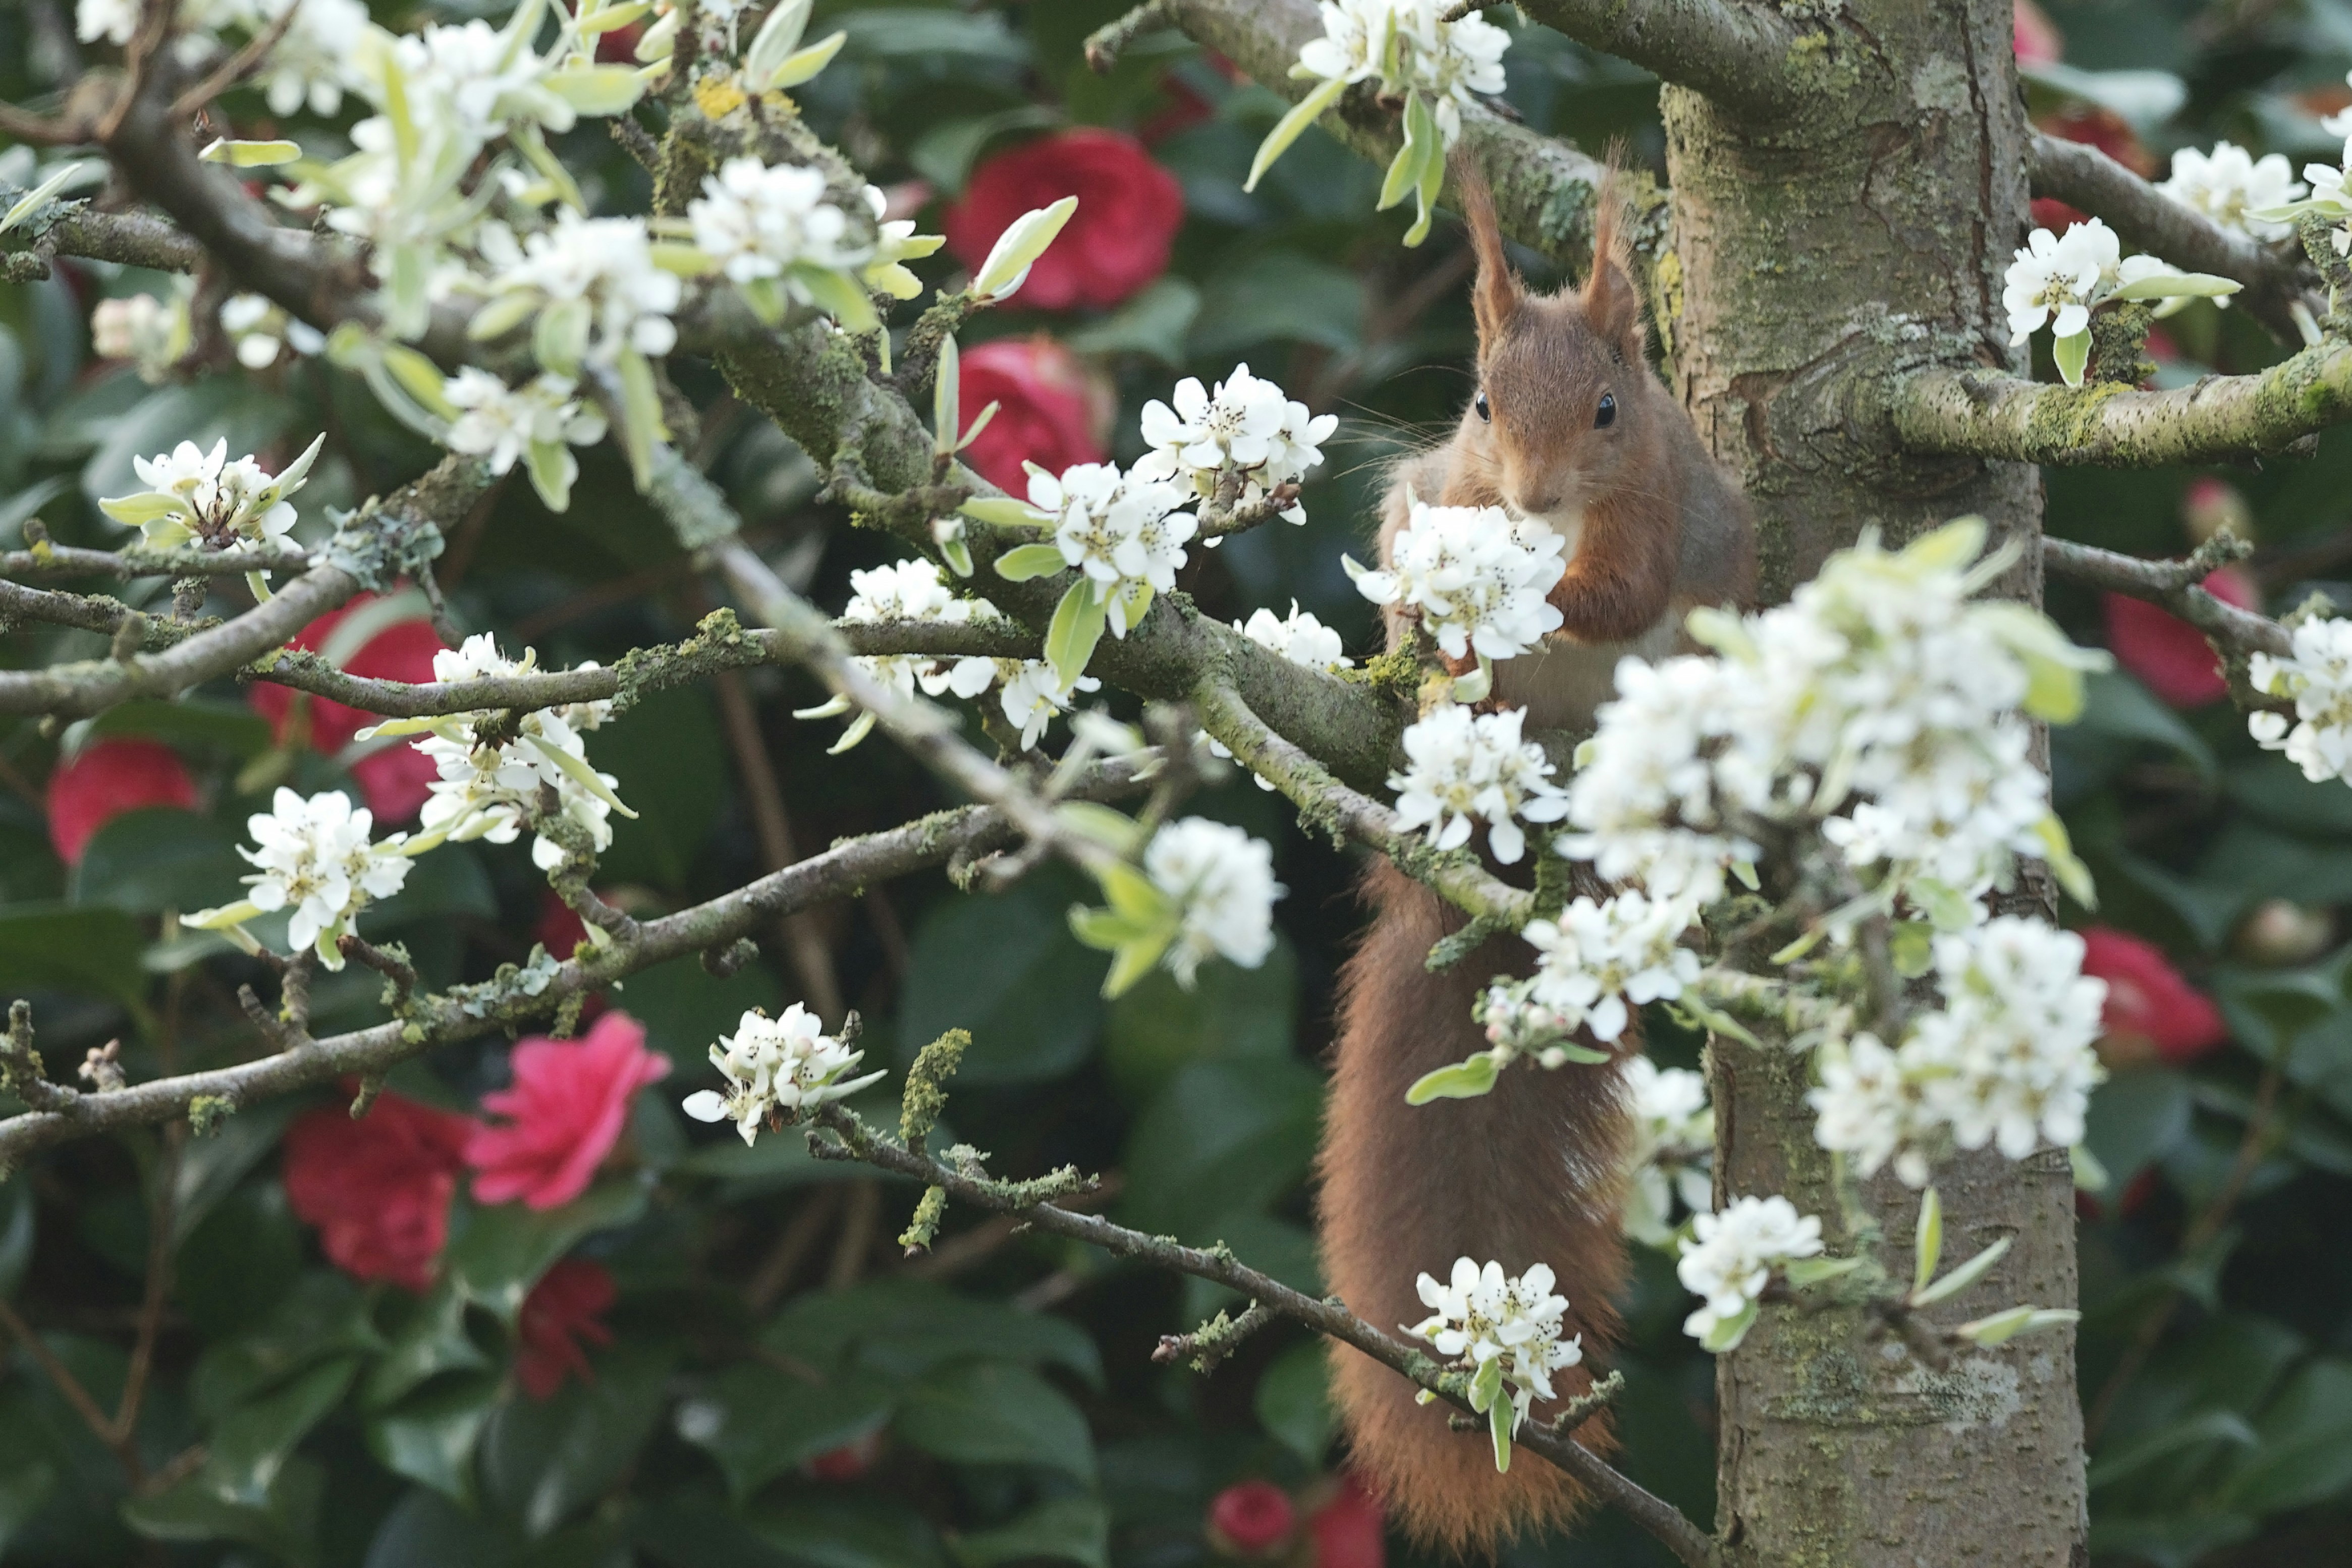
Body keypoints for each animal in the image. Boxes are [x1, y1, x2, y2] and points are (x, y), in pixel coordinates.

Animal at [1319, 171, 1756, 1552]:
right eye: (1478, 403)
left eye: (1608, 412)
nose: (1527, 490)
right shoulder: (1437, 482)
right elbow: (1412, 539)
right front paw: (1441, 608)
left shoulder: (1653, 516)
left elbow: (1611, 593)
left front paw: (1544, 594)